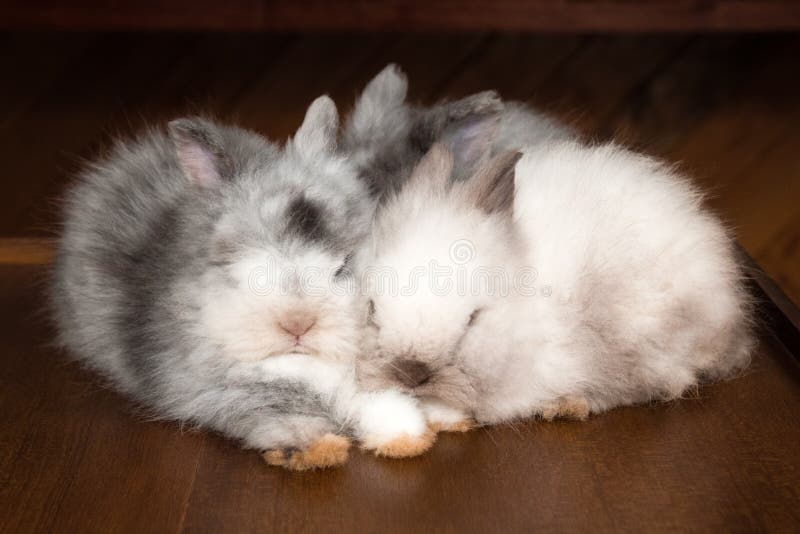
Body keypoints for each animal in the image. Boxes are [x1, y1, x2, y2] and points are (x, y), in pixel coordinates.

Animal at [49, 96, 433, 469]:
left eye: (342, 267)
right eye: (252, 267)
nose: (298, 325)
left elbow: (368, 394)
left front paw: (406, 435)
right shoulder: (215, 388)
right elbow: (274, 405)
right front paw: (316, 447)